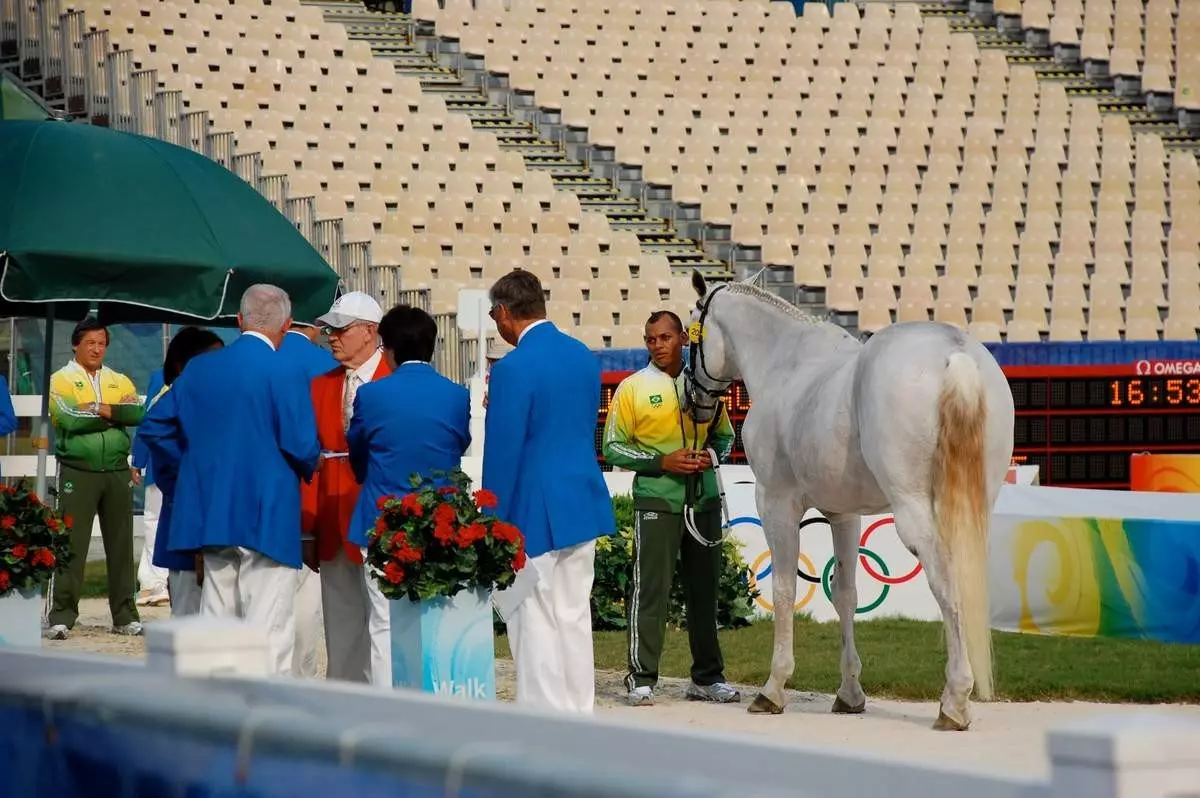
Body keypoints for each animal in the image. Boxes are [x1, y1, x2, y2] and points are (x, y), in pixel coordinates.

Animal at [686, 271, 1012, 729]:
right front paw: (850, 693)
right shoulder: (844, 515)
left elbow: (783, 589)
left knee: (947, 585)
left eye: (689, 331)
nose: (693, 400)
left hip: (914, 511)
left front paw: (773, 688)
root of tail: (955, 354)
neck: (785, 363)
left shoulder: (777, 504)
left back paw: (955, 701)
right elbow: (845, 594)